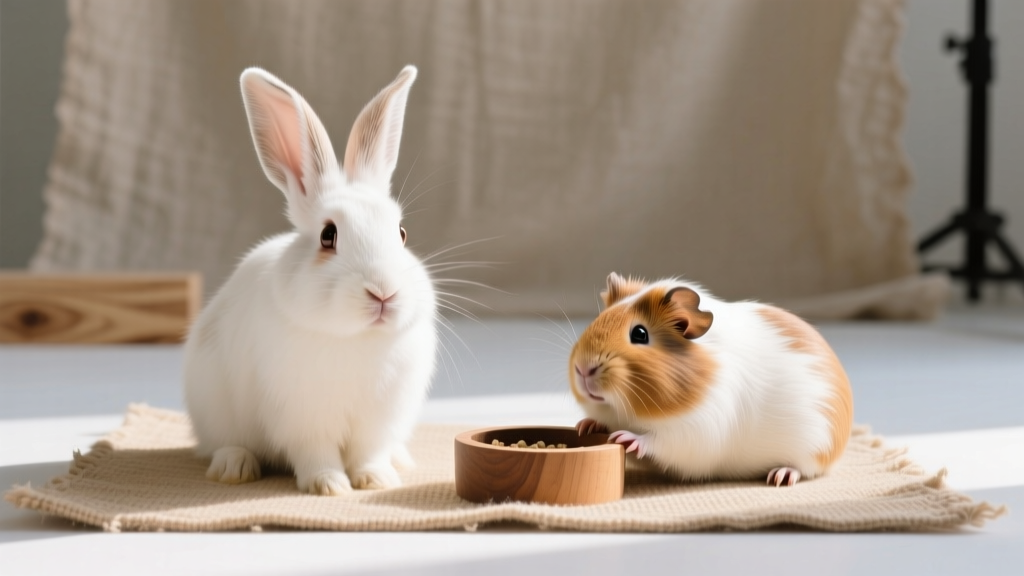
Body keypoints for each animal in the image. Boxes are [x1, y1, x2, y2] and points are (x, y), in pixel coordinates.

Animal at [183, 65, 437, 496]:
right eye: (328, 235)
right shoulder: (302, 418)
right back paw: (235, 467)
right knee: (222, 443)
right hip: (214, 406)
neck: (357, 339)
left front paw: (377, 480)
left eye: (401, 234)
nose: (383, 292)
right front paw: (329, 486)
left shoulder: (378, 420)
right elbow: (316, 453)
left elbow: (368, 452)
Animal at [571, 273, 853, 486]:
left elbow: (656, 441)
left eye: (640, 334)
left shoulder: (696, 431)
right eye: (598, 320)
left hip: (812, 451)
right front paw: (586, 426)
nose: (583, 369)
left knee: (803, 470)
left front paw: (624, 438)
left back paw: (779, 477)